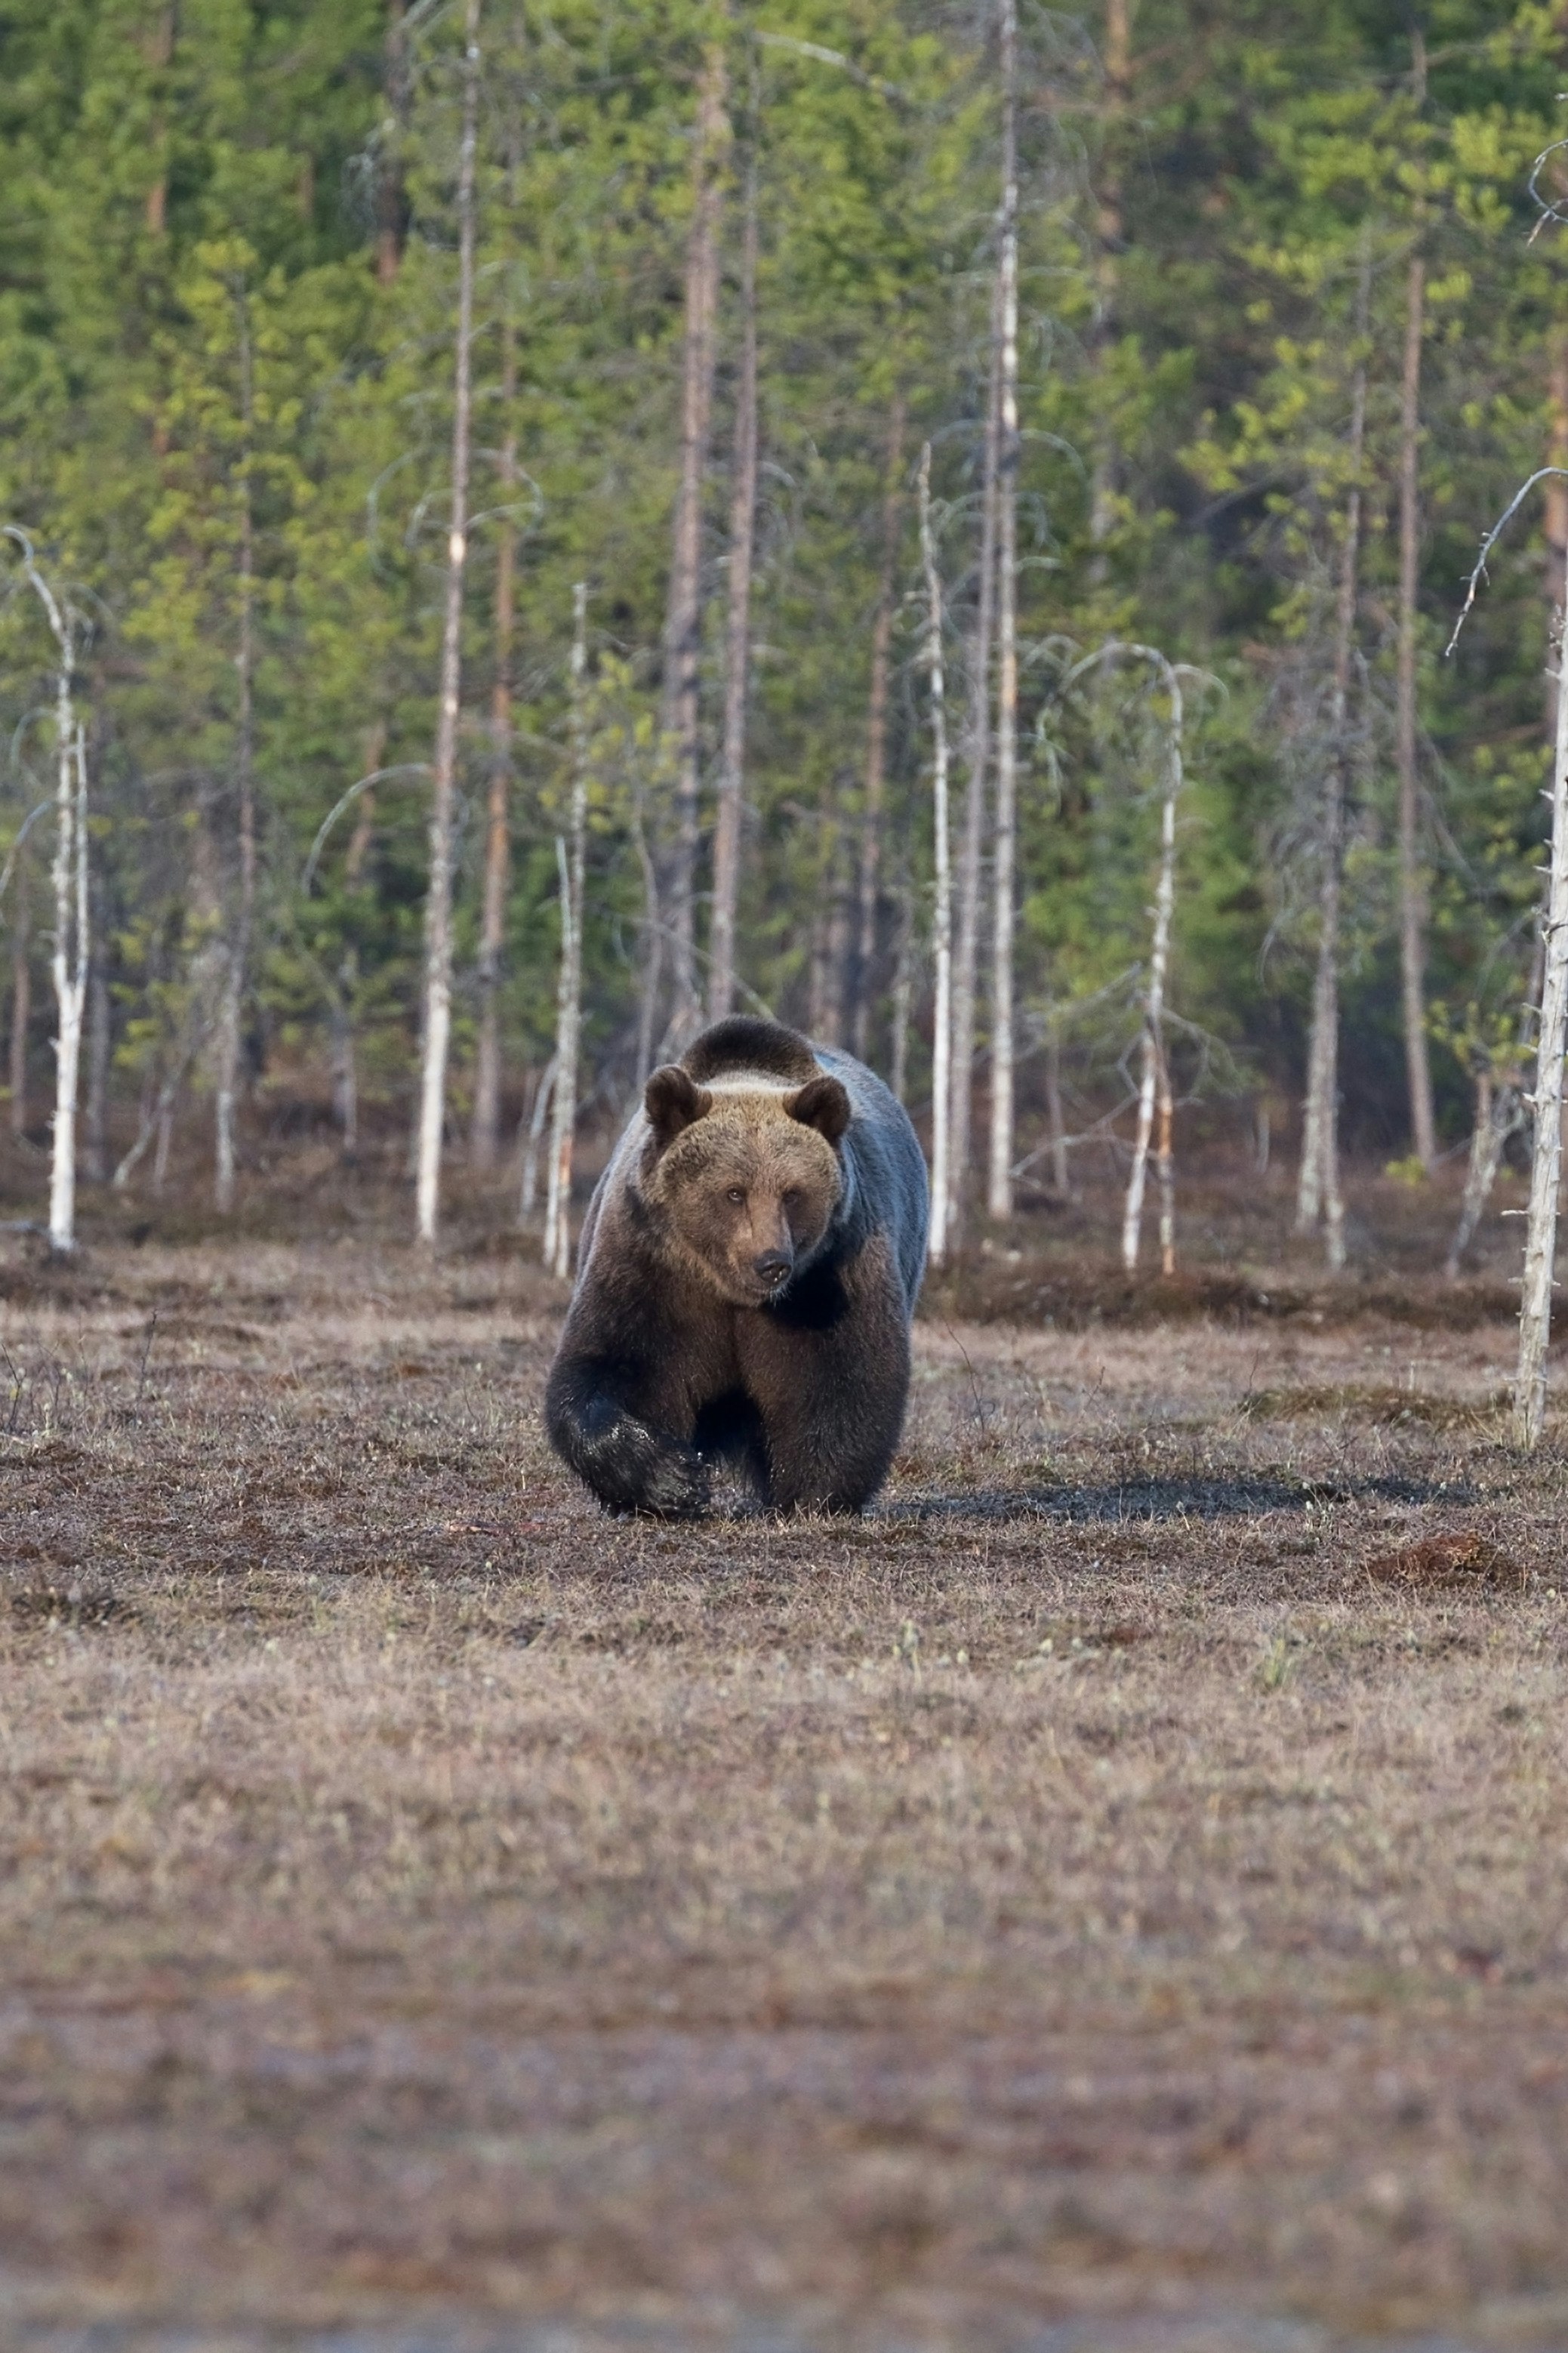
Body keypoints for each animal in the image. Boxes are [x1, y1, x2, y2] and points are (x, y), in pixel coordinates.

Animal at [545, 1015, 929, 1517]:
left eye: (792, 1192)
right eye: (734, 1192)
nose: (772, 1264)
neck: (729, 1290)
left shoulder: (829, 1275)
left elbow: (843, 1376)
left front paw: (811, 1495)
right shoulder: (649, 1266)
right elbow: (616, 1367)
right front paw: (672, 1478)